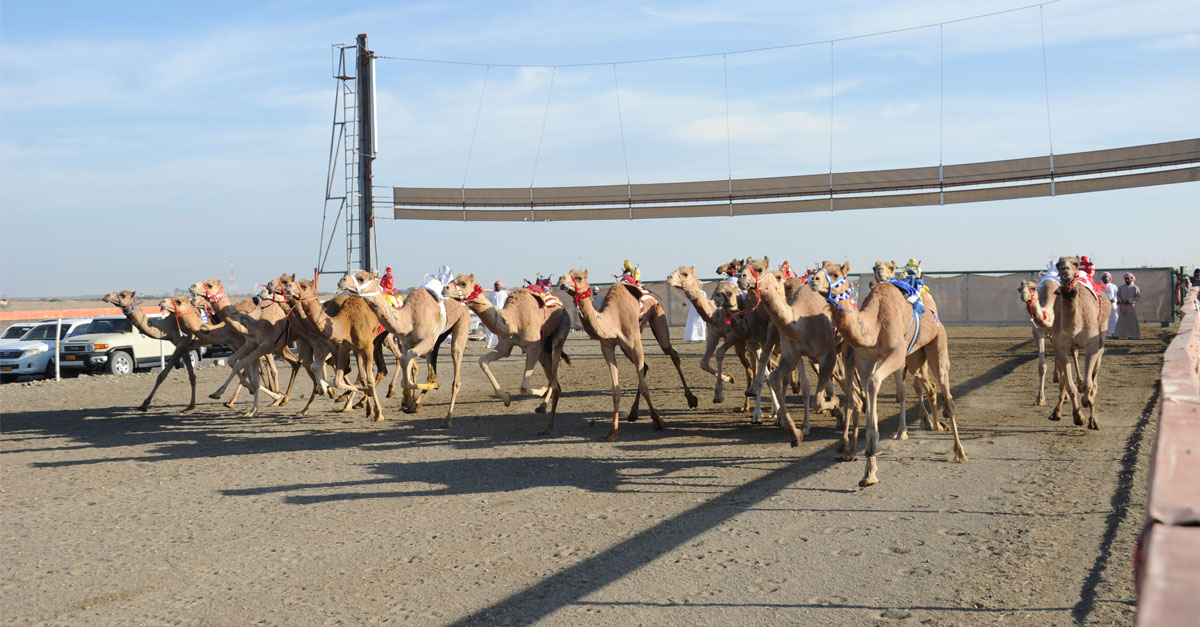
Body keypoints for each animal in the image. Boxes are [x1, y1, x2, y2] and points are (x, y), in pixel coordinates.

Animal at [338, 271, 470, 428]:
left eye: (361, 278)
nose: (342, 280)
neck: (409, 318)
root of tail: (463, 303)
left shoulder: (426, 341)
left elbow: (404, 360)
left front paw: (406, 399)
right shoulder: (407, 343)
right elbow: (404, 361)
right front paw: (406, 401)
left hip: (461, 323)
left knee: (456, 369)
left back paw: (447, 419)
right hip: (437, 339)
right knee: (432, 375)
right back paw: (418, 402)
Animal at [443, 273, 571, 434]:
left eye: (464, 283)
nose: (444, 289)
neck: (513, 320)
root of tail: (562, 306)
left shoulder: (532, 347)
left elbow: (524, 387)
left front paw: (541, 389)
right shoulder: (505, 347)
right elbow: (482, 361)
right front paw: (506, 398)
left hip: (561, 330)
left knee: (555, 376)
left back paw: (546, 417)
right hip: (544, 348)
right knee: (554, 380)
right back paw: (543, 411)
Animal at [557, 269, 699, 440]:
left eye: (578, 277)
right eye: (565, 274)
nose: (561, 280)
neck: (613, 319)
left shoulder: (635, 345)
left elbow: (644, 387)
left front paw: (658, 421)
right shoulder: (607, 347)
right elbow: (616, 390)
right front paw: (613, 431)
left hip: (658, 317)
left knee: (672, 354)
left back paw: (691, 399)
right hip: (627, 347)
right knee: (645, 366)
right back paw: (633, 413)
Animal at [809, 261, 967, 487]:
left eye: (836, 273)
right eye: (817, 270)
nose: (813, 280)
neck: (873, 325)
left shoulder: (896, 355)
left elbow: (873, 383)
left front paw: (872, 449)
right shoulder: (864, 361)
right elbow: (867, 398)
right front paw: (869, 472)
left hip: (937, 344)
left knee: (947, 395)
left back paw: (959, 451)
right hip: (916, 357)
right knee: (927, 385)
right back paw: (936, 426)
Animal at [1026, 256, 1110, 429]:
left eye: (1076, 264)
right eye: (1059, 264)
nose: (1065, 269)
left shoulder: (1091, 345)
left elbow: (1088, 383)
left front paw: (1087, 401)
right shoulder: (1057, 343)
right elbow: (1069, 384)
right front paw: (1078, 417)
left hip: (1102, 335)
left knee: (1094, 374)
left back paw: (1093, 419)